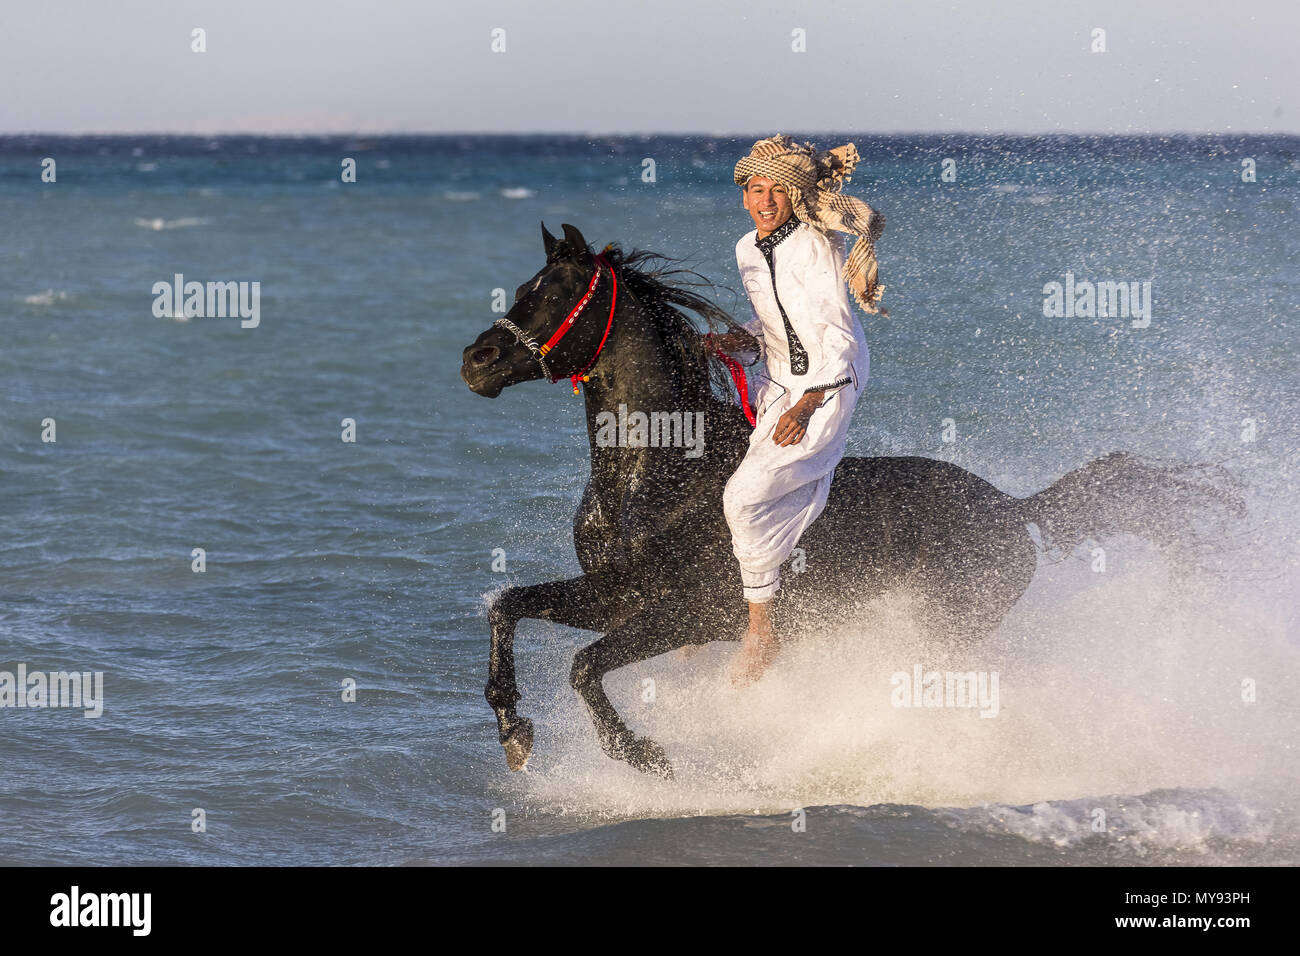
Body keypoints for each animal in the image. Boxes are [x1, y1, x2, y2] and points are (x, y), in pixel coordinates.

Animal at [459, 222, 1238, 778]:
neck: (657, 477)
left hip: (940, 627)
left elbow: (583, 666)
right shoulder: (614, 594)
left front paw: (644, 755)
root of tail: (1016, 510)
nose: (475, 362)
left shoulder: (685, 614)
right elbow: (509, 606)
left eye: (558, 291)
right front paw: (514, 729)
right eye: (527, 282)